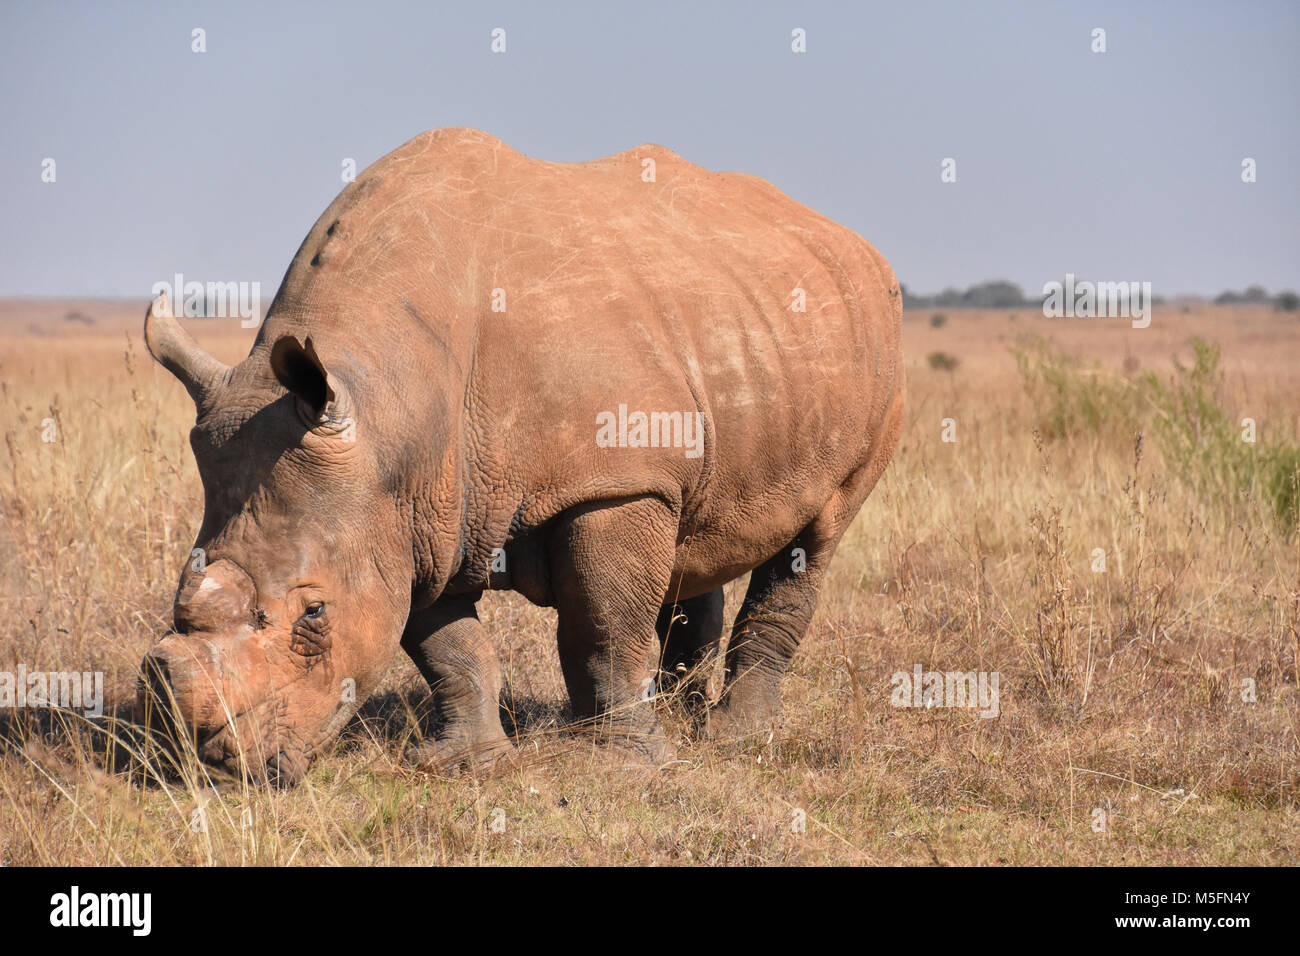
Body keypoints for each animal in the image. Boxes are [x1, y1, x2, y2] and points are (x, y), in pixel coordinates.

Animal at [139, 127, 905, 785]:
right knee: (695, 531)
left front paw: (618, 767)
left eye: (314, 616)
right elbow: (448, 645)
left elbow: (604, 626)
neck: (391, 400)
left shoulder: (609, 482)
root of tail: (857, 246)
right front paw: (466, 764)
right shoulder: (416, 511)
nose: (218, 767)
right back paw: (678, 721)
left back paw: (732, 739)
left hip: (871, 340)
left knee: (816, 537)